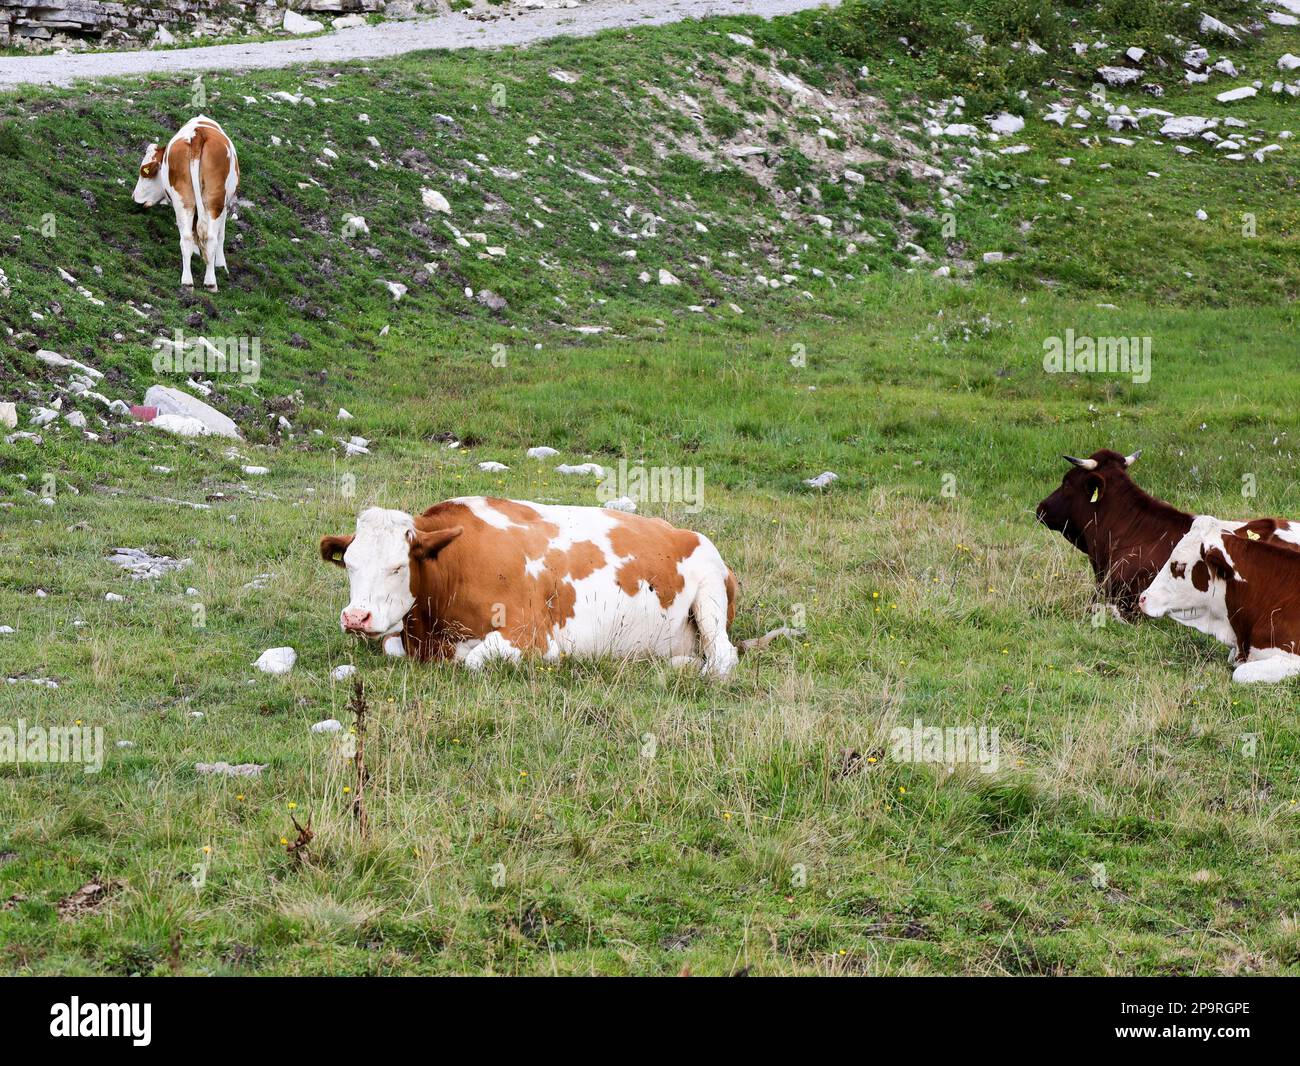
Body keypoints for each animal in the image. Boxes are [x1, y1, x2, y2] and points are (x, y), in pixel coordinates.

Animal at [132, 115, 240, 292]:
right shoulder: (225, 205)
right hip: (214, 200)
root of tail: (197, 134)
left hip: (184, 200)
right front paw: (221, 264)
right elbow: (220, 235)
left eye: (144, 173)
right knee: (211, 237)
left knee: (187, 237)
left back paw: (187, 280)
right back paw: (210, 282)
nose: (134, 196)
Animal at [319, 498, 794, 678]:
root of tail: (683, 531)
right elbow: (390, 646)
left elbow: (474, 661)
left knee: (722, 656)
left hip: (710, 594)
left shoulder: (530, 635)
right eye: (351, 565)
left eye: (398, 566)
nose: (356, 617)